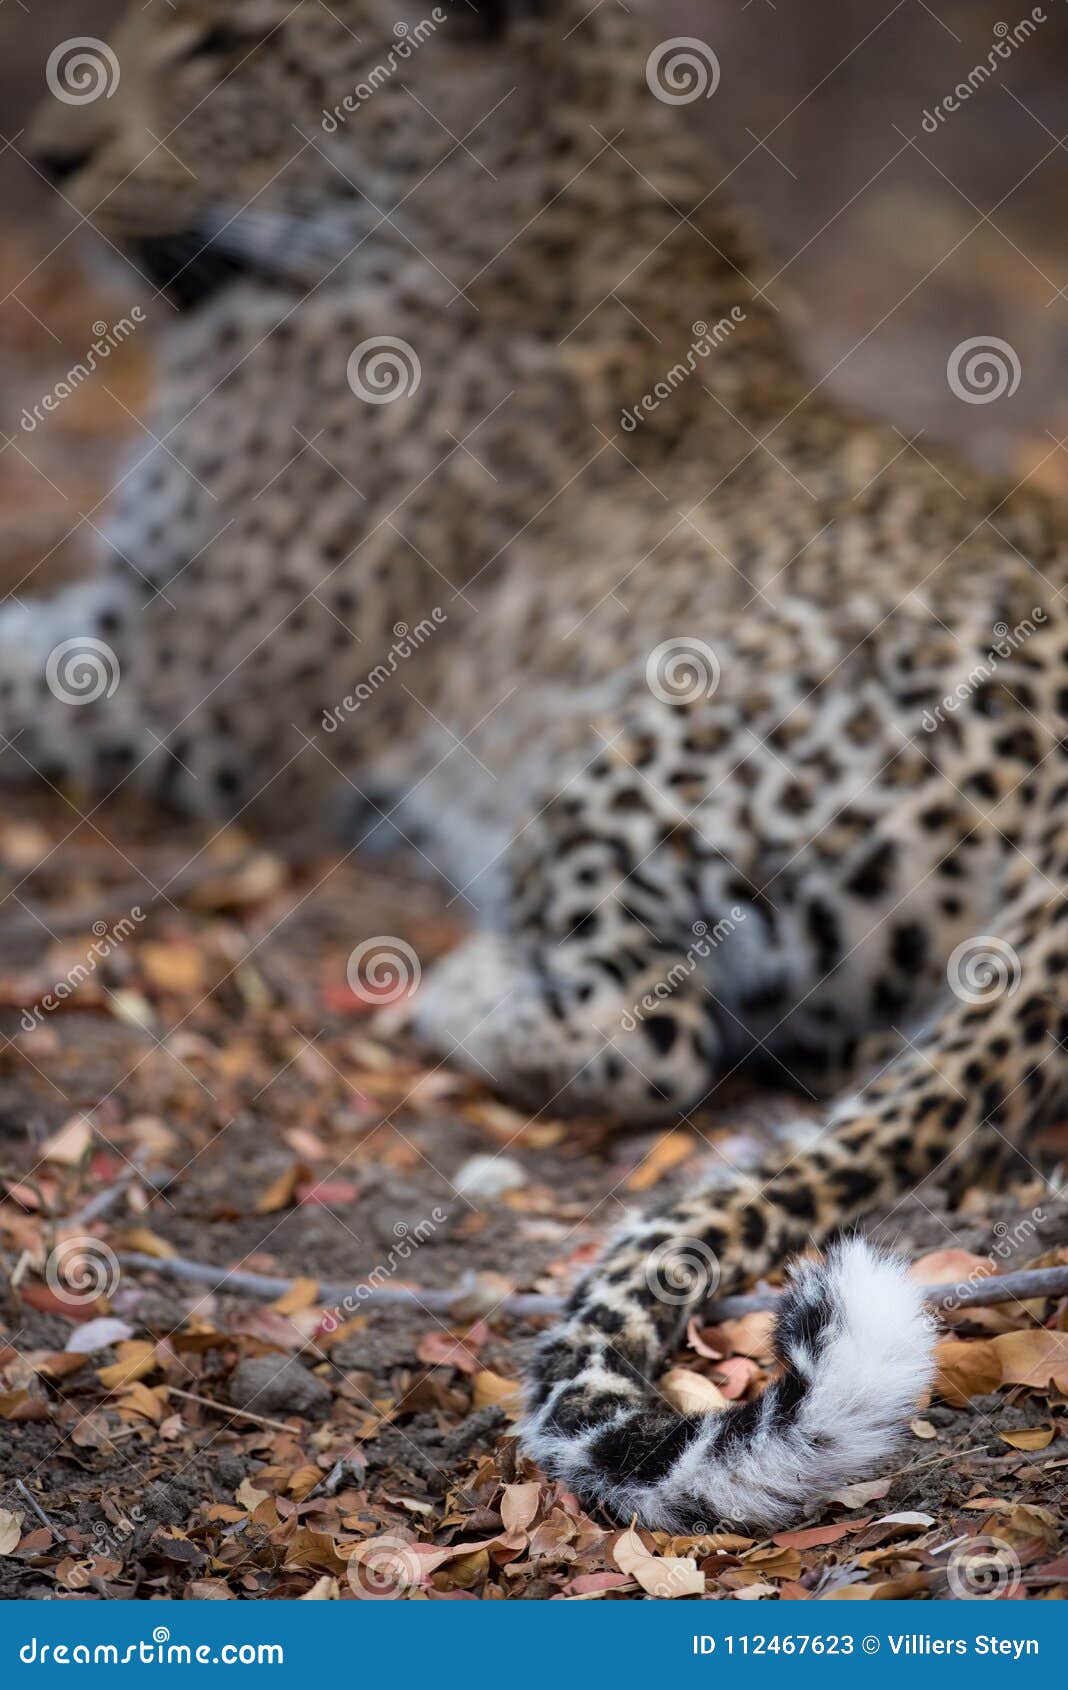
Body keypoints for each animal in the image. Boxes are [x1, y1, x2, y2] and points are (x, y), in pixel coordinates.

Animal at [7, 0, 1068, 1530]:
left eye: (226, 43)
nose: (49, 155)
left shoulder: (170, 683)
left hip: (649, 732)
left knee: (654, 1038)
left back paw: (453, 990)